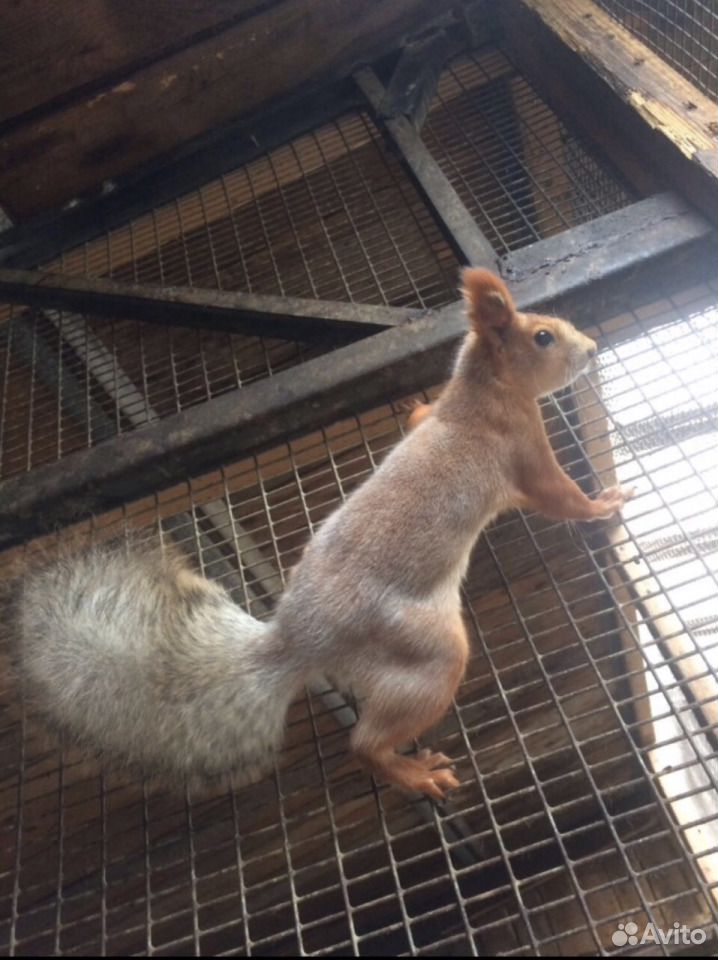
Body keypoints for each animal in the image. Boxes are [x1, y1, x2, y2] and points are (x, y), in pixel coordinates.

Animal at [18, 269, 633, 800]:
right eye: (543, 337)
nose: (591, 349)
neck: (475, 394)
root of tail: (299, 641)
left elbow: (420, 419)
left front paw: (413, 404)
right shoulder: (521, 442)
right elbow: (557, 495)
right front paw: (602, 504)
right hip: (425, 649)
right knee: (365, 743)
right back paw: (411, 773)